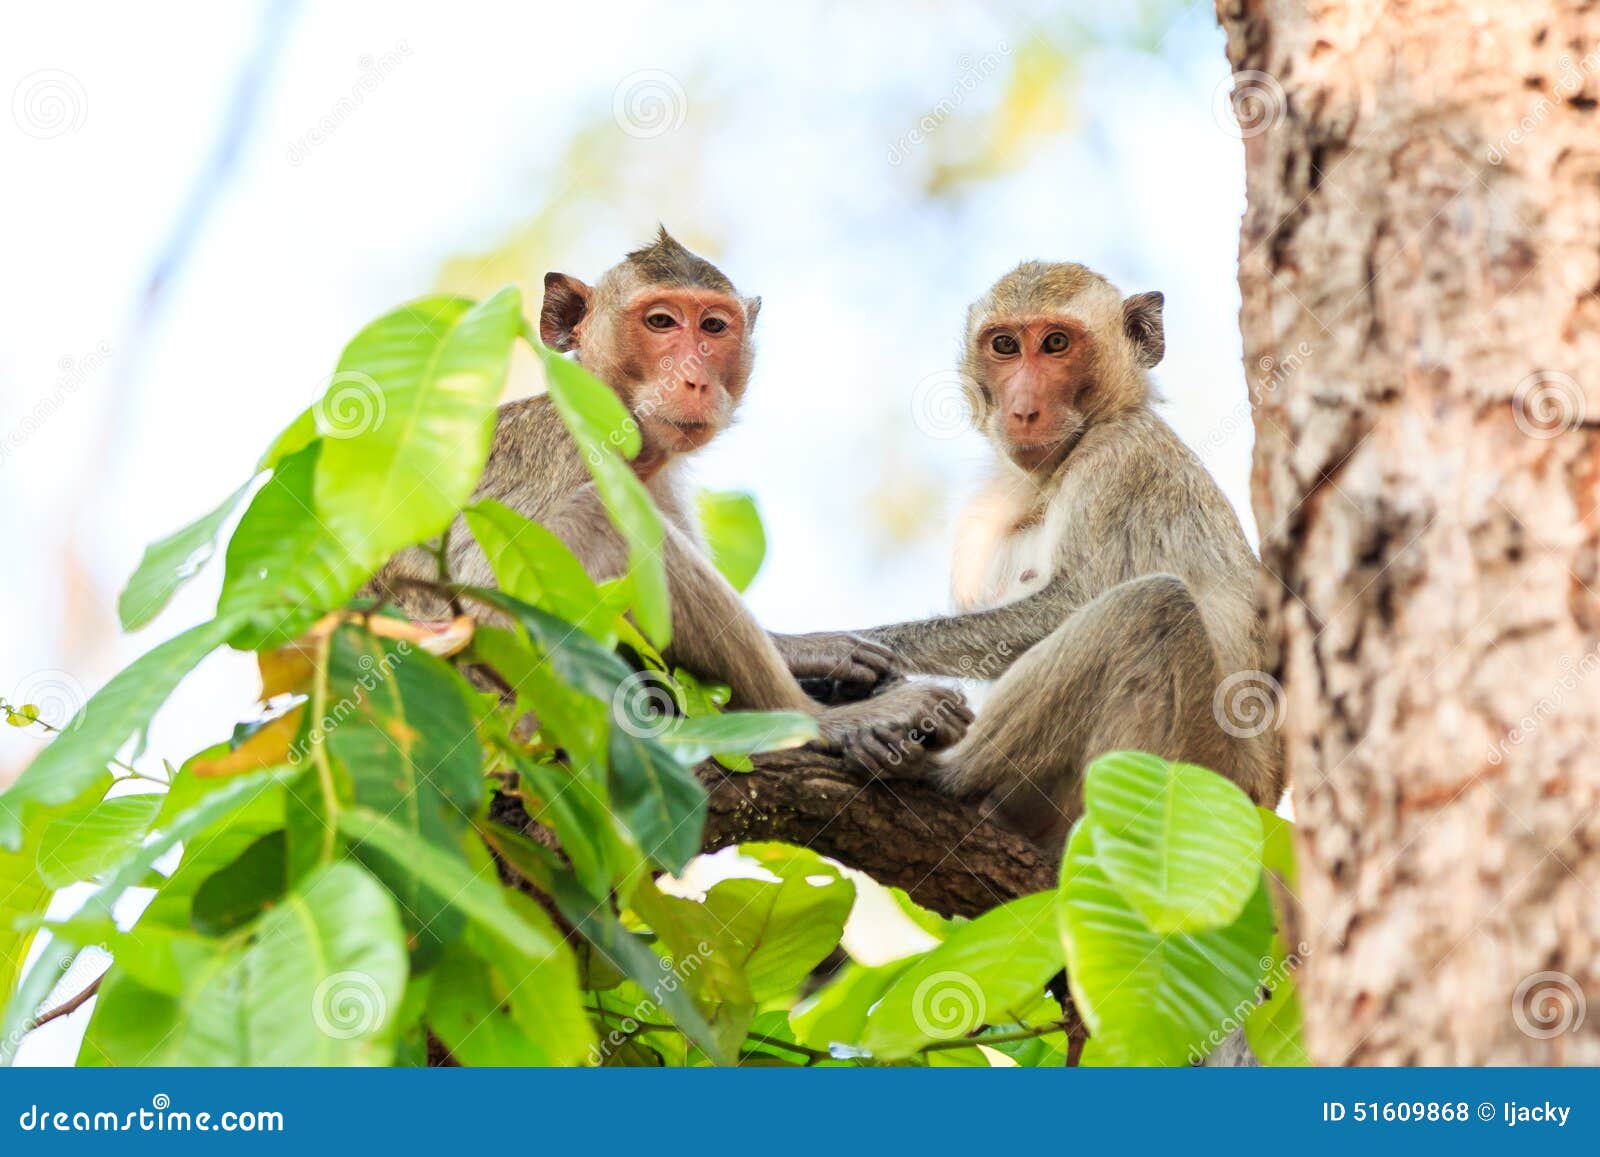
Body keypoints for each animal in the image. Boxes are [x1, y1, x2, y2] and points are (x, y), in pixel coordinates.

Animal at [371, 229, 969, 773]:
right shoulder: (574, 447)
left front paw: (811, 652)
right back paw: (826, 724)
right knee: (598, 520)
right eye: (661, 322)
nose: (694, 379)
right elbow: (482, 607)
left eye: (713, 327)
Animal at [785, 260, 1284, 850]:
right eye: (1005, 345)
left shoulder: (1120, 457)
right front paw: (836, 673)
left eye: (1056, 344)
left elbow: (1071, 603)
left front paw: (835, 655)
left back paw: (943, 772)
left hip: (1201, 783)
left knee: (1149, 607)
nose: (1023, 409)